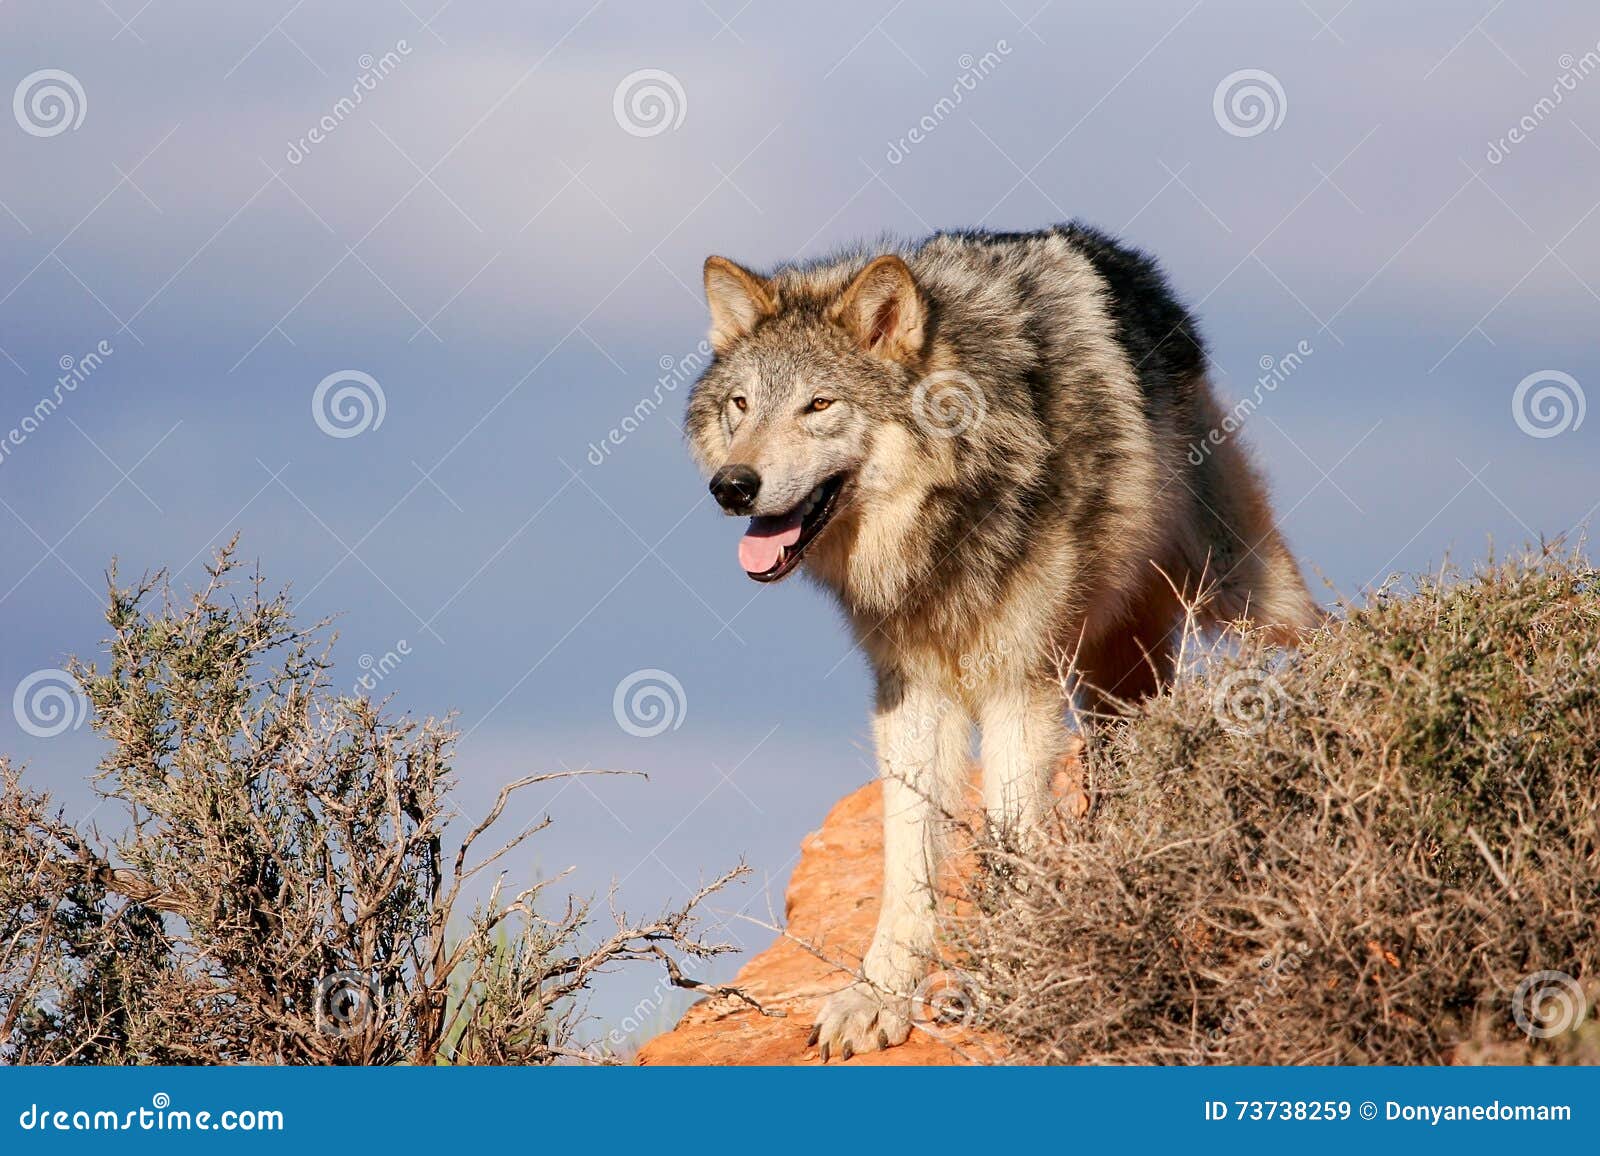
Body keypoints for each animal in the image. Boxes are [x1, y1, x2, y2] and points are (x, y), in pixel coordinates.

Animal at [683, 224, 1317, 1060]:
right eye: (741, 405)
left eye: (819, 405)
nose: (733, 486)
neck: (950, 514)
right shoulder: (912, 693)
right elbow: (906, 862)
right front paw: (879, 997)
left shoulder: (1021, 683)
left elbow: (1012, 841)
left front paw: (1015, 975)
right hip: (1117, 674)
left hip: (1242, 597)